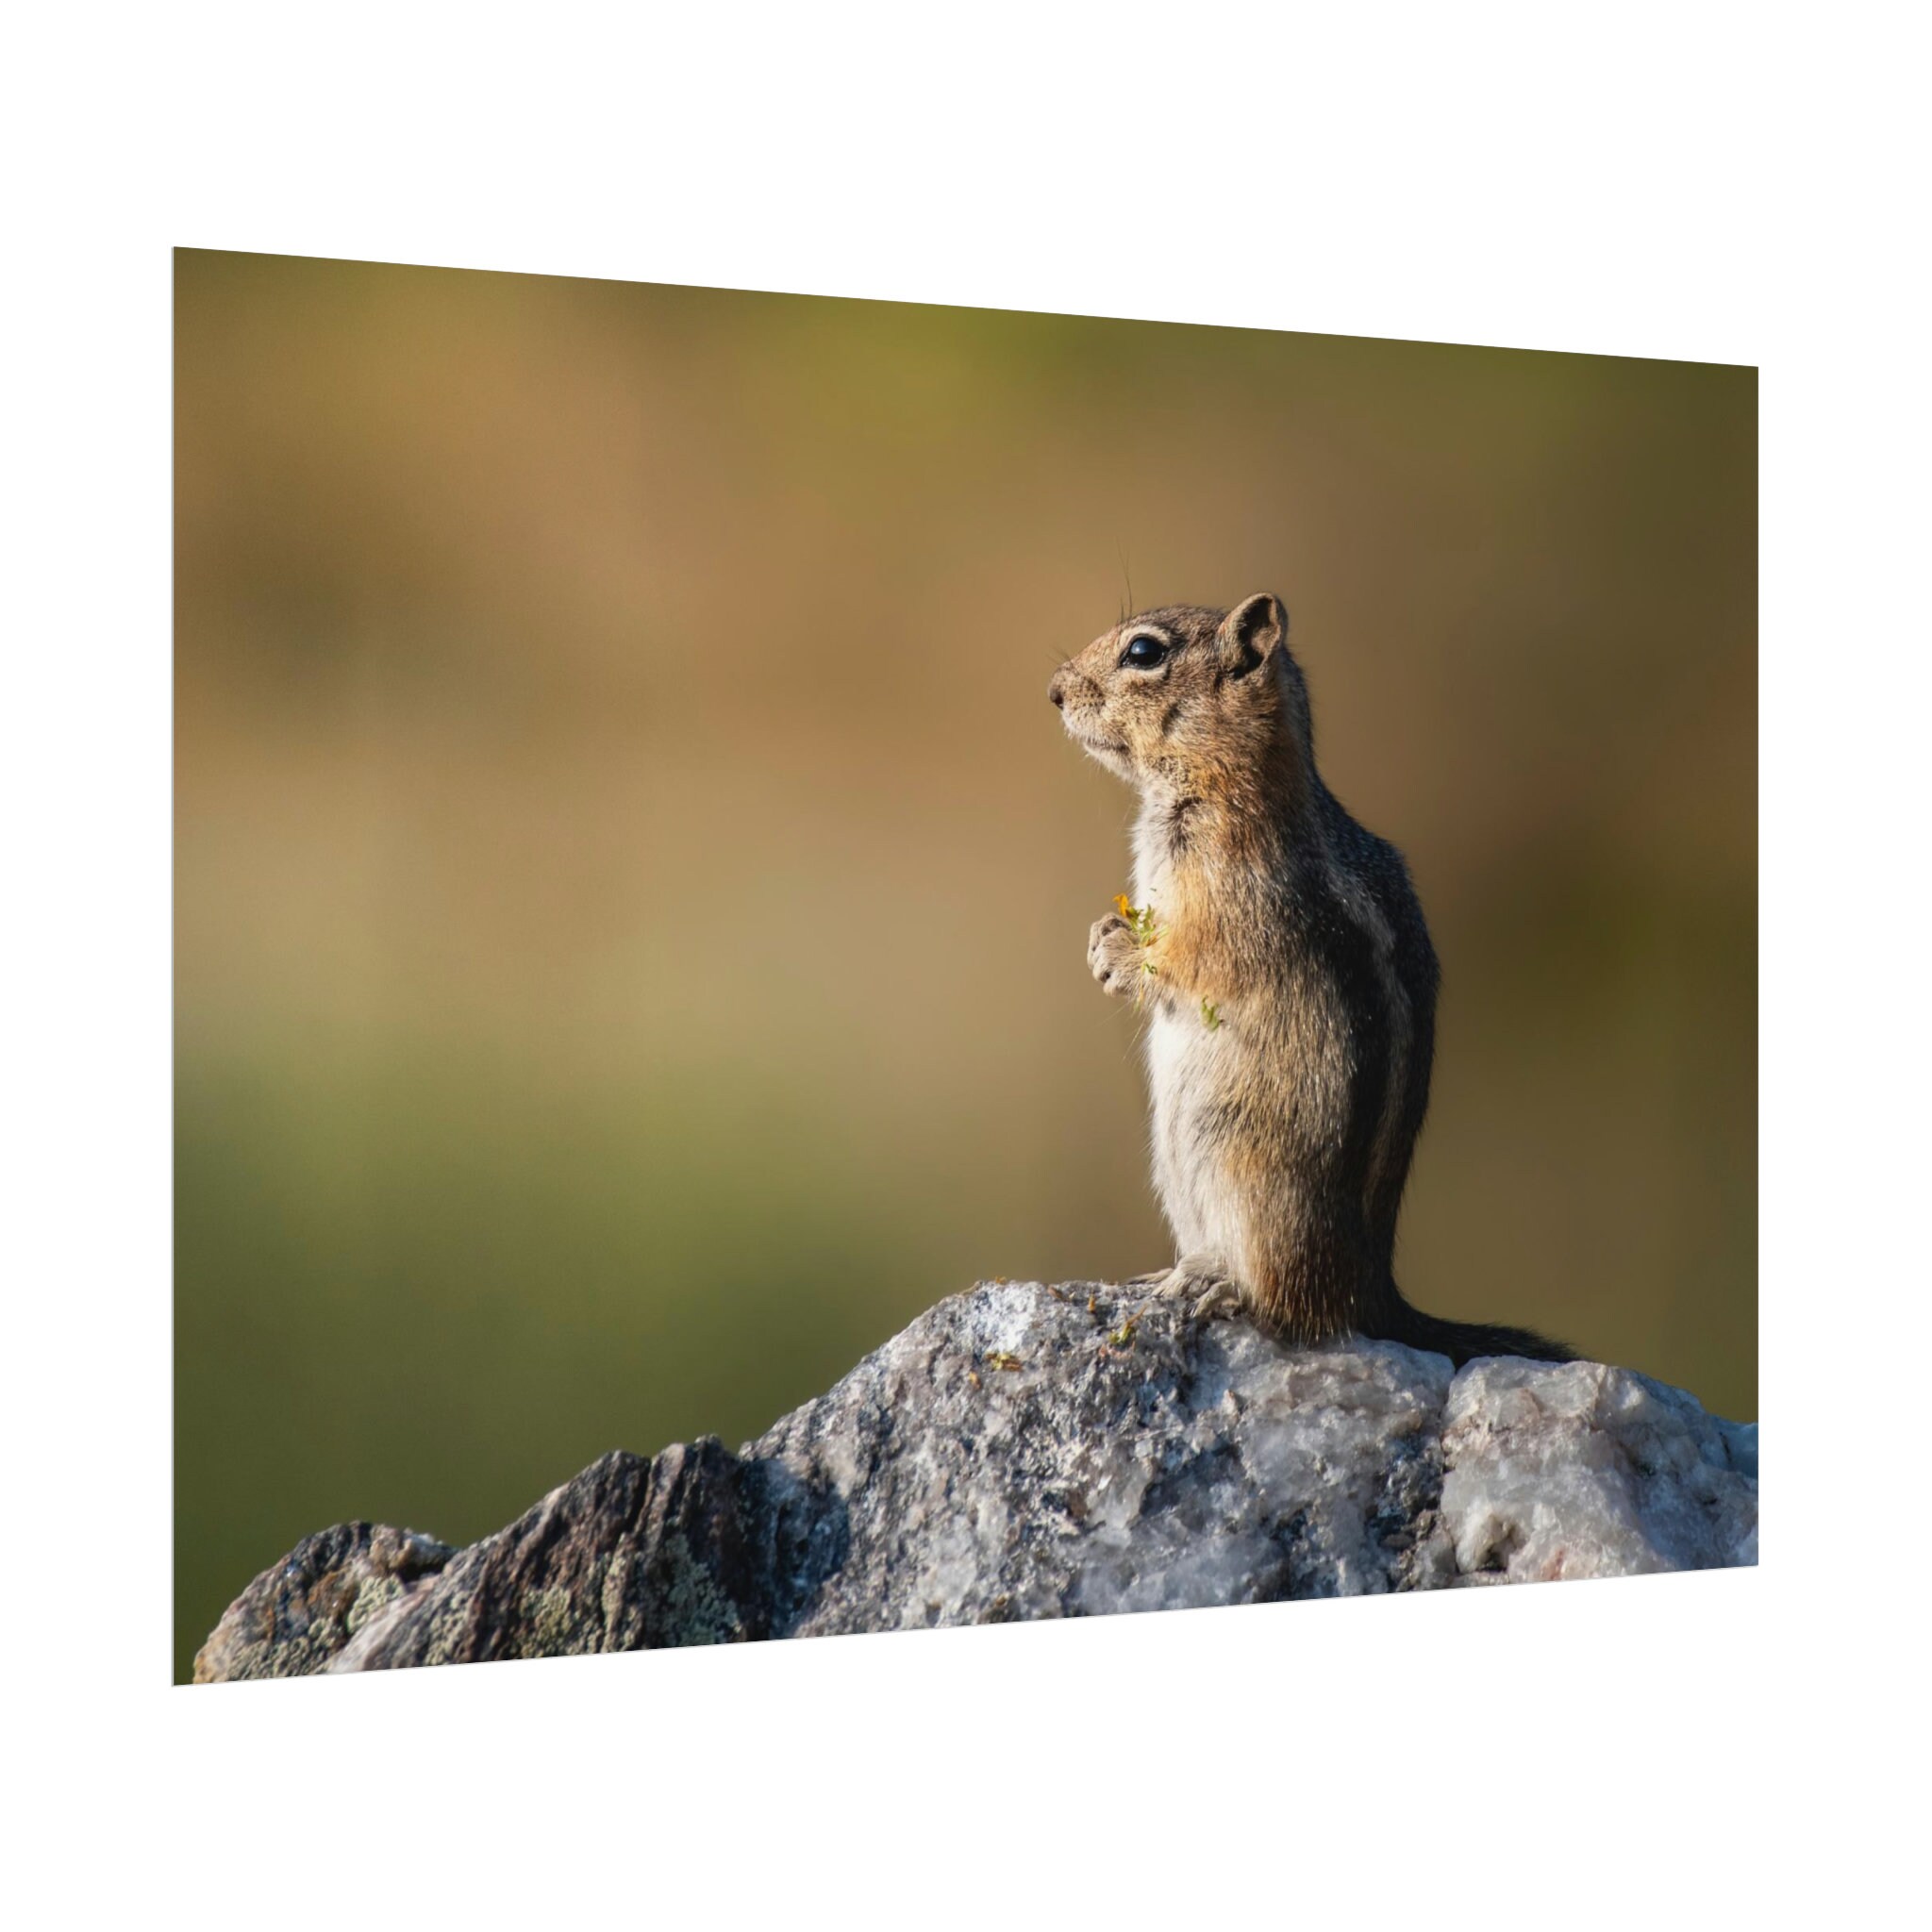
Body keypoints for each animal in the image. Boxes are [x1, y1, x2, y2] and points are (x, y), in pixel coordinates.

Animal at [1049, 592, 1572, 1367]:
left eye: (1144, 652)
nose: (1053, 692)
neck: (1227, 778)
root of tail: (1370, 1286)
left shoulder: (1231, 904)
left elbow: (1187, 961)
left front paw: (1115, 954)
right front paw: (1098, 938)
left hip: (1249, 1179)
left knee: (1294, 1307)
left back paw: (1218, 1287)